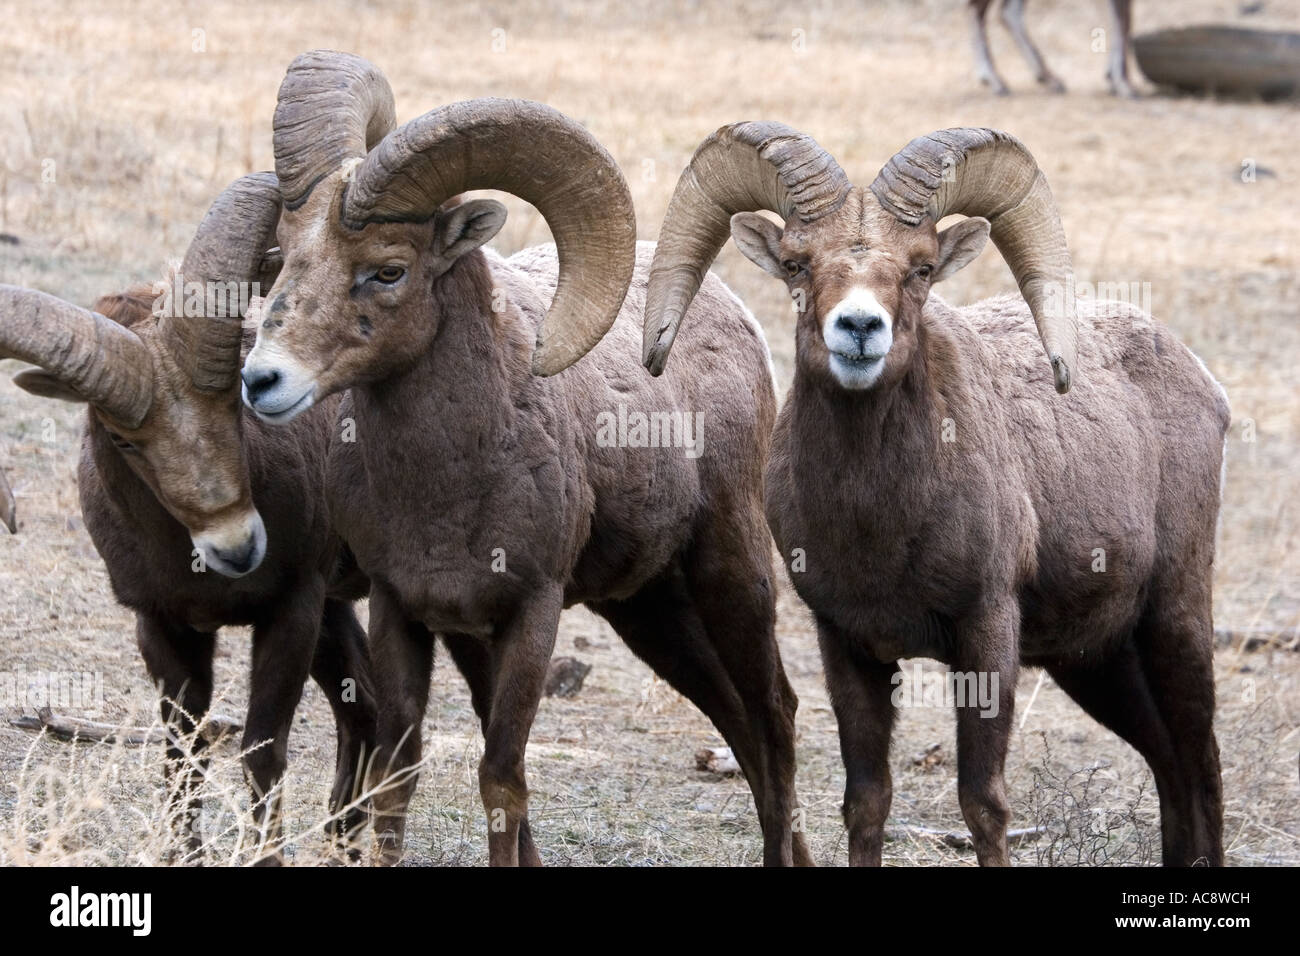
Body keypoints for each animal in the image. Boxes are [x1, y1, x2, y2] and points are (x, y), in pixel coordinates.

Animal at [0, 174, 377, 863]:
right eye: (121, 438)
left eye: (237, 392)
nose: (236, 548)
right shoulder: (162, 625)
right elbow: (184, 754)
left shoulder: (292, 608)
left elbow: (261, 751)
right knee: (366, 708)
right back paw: (345, 841)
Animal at [239, 51, 808, 866]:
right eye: (287, 256)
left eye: (388, 270)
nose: (263, 380)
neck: (448, 482)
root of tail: (733, 315)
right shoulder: (402, 610)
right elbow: (395, 776)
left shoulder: (531, 613)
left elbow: (502, 780)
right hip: (647, 611)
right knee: (736, 721)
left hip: (731, 571)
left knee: (774, 717)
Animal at [642, 123, 1228, 866]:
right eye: (798, 264)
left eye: (920, 268)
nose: (859, 329)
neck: (882, 530)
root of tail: (1204, 384)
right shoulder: (848, 646)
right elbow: (866, 803)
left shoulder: (987, 634)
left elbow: (983, 804)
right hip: (1097, 663)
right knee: (1170, 767)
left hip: (1174, 620)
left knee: (1202, 766)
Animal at [968, 0, 1135, 97]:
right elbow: (1123, 20)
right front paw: (1124, 84)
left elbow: (1121, 21)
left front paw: (1112, 78)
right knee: (978, 10)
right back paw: (994, 80)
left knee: (1008, 13)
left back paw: (1049, 79)